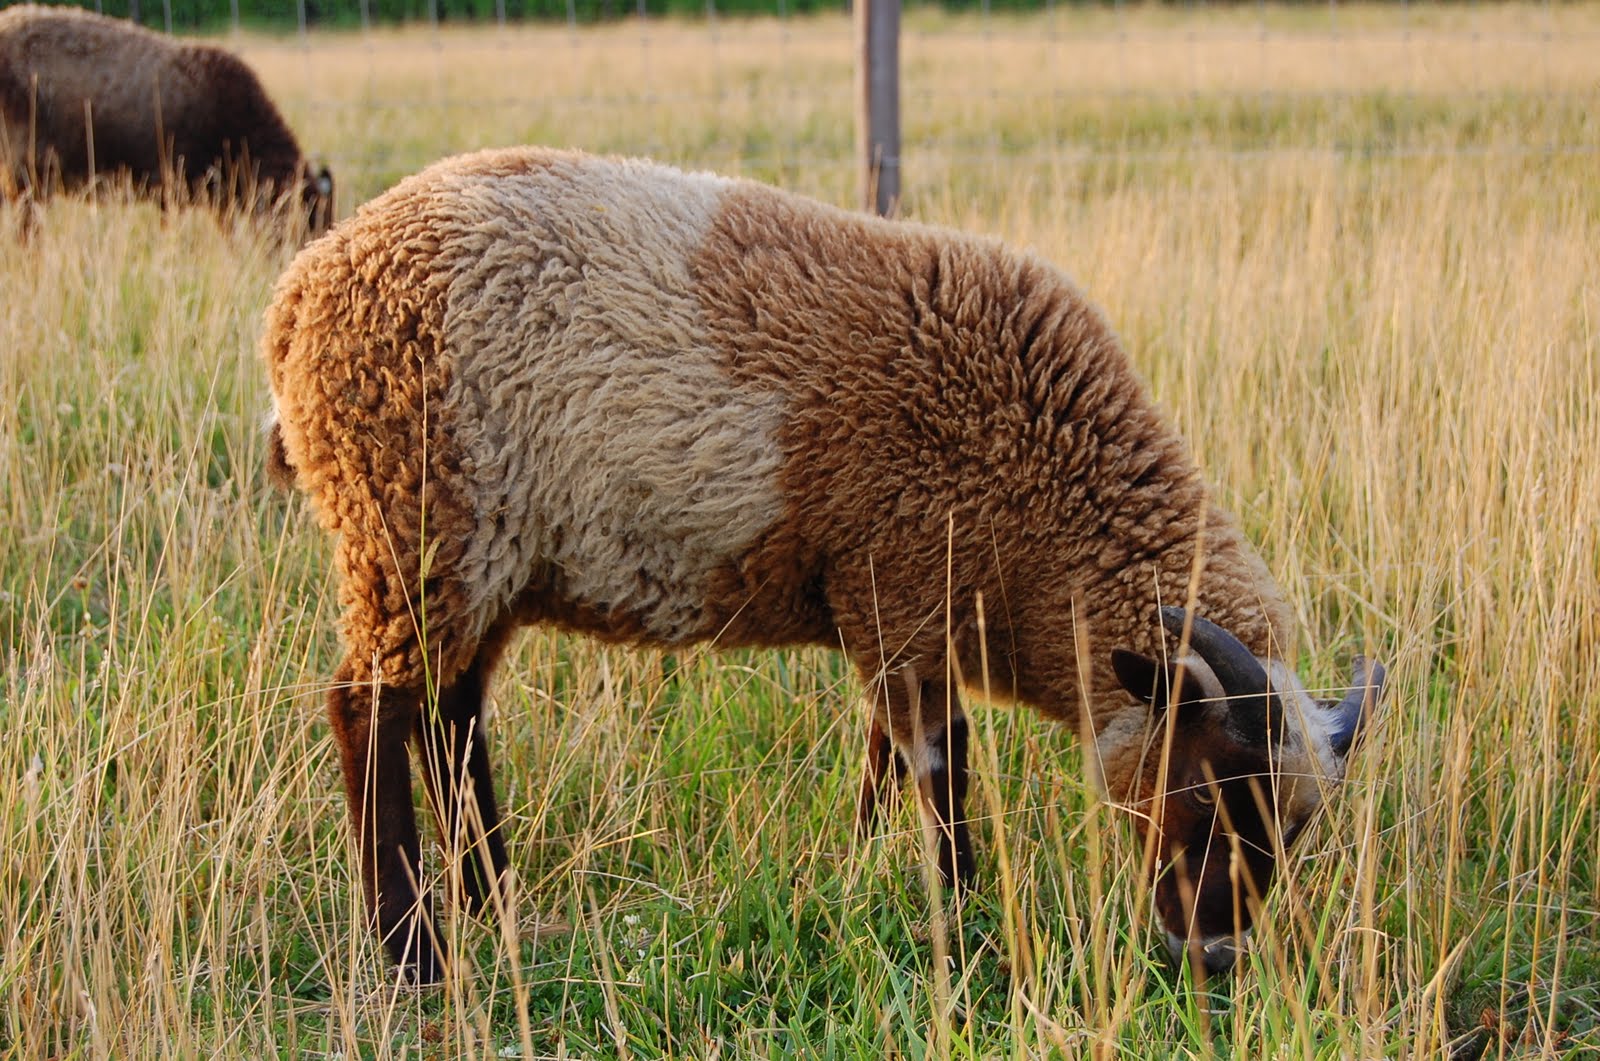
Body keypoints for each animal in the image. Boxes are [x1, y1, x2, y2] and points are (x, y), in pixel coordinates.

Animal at [261, 145, 1388, 983]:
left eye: (1294, 834)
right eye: (1202, 789)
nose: (1213, 958)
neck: (1046, 495)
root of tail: (303, 291)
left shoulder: (890, 611)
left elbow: (882, 759)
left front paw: (857, 873)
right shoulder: (899, 588)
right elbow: (941, 763)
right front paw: (961, 918)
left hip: (482, 557)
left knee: (452, 719)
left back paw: (496, 900)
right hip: (412, 522)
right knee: (368, 708)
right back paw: (410, 950)